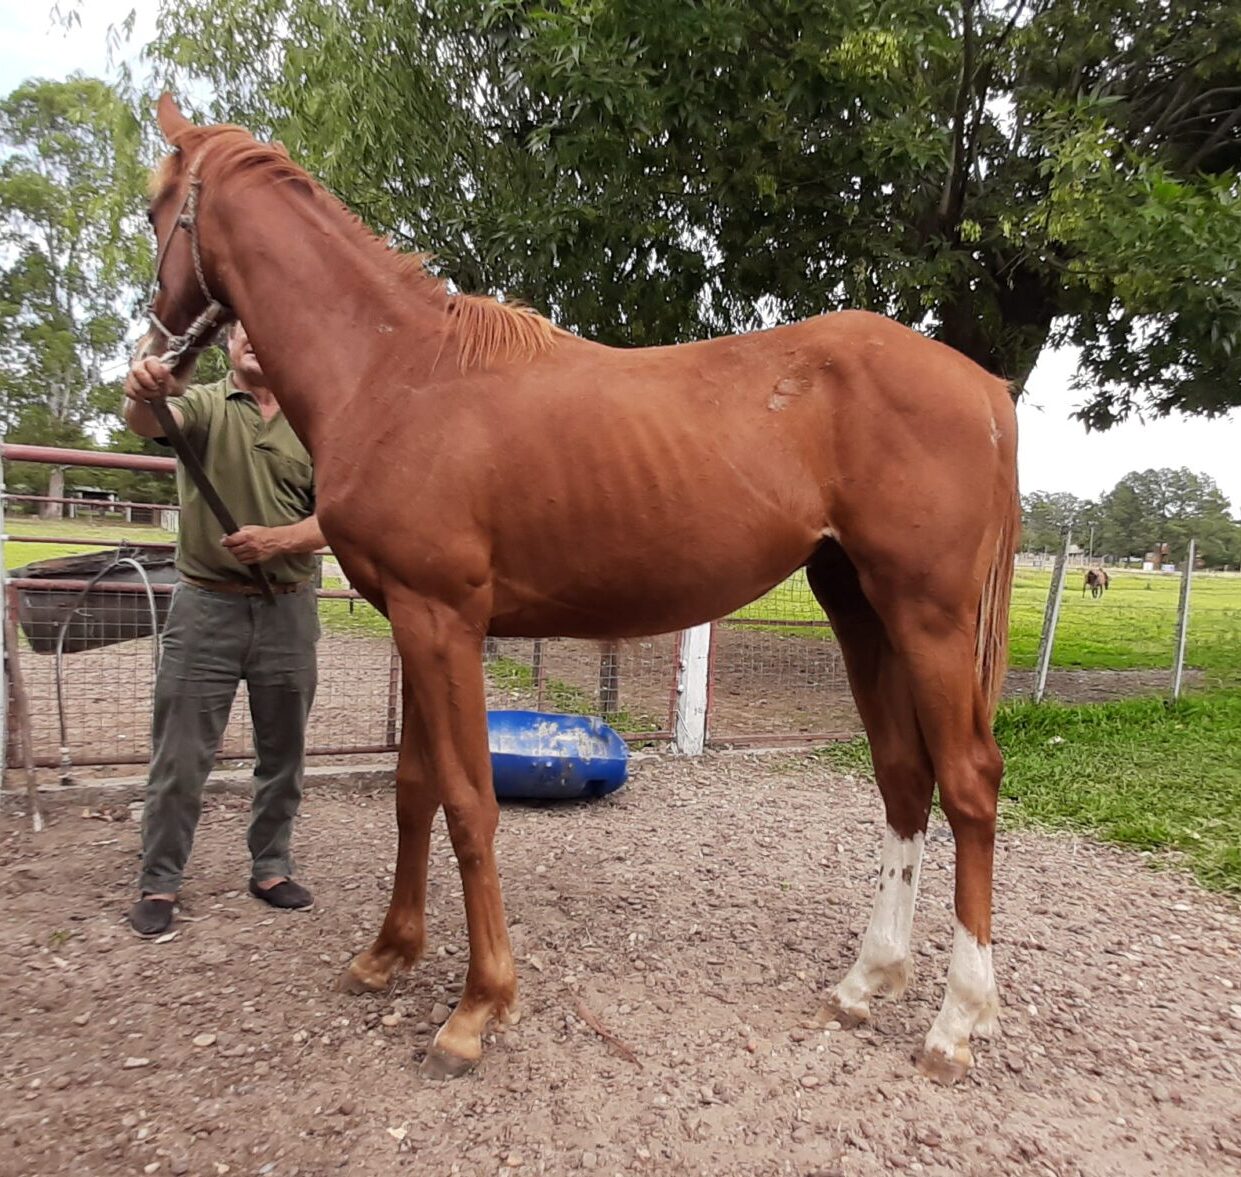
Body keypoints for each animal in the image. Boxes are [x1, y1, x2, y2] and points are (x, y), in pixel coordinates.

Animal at [138, 95, 1020, 1085]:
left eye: (155, 211)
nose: (157, 354)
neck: (396, 372)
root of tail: (984, 385)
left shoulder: (441, 619)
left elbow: (468, 803)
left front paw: (476, 1006)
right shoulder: (415, 621)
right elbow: (414, 787)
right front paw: (388, 953)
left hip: (927, 615)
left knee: (968, 782)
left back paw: (956, 1020)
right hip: (858, 605)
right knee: (904, 778)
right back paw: (867, 981)